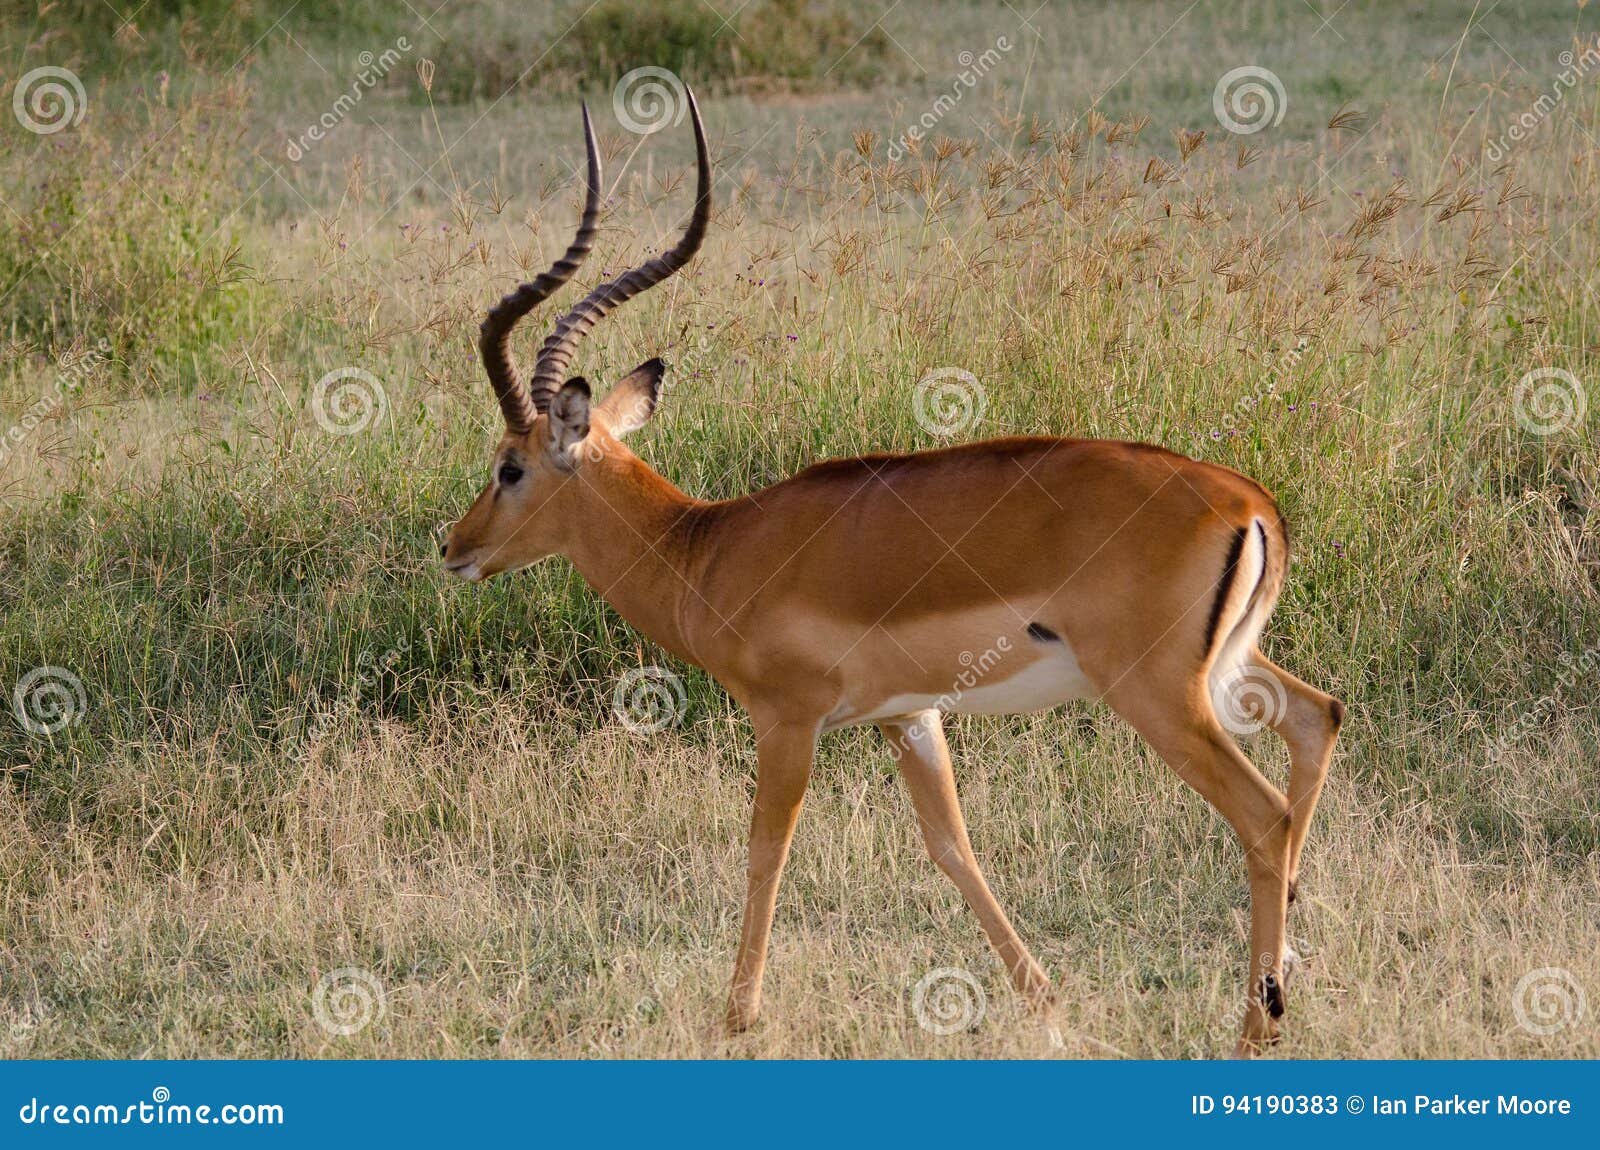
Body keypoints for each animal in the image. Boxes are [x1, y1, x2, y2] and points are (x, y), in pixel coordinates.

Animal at [441, 93, 1344, 1057]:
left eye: (508, 466)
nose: (455, 548)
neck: (708, 548)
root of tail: (1249, 502)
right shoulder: (910, 716)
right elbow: (952, 846)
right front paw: (1043, 999)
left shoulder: (788, 719)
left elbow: (767, 847)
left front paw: (738, 1016)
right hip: (1228, 670)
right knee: (1316, 720)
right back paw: (1290, 962)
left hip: (1158, 691)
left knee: (1264, 814)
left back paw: (1256, 1024)